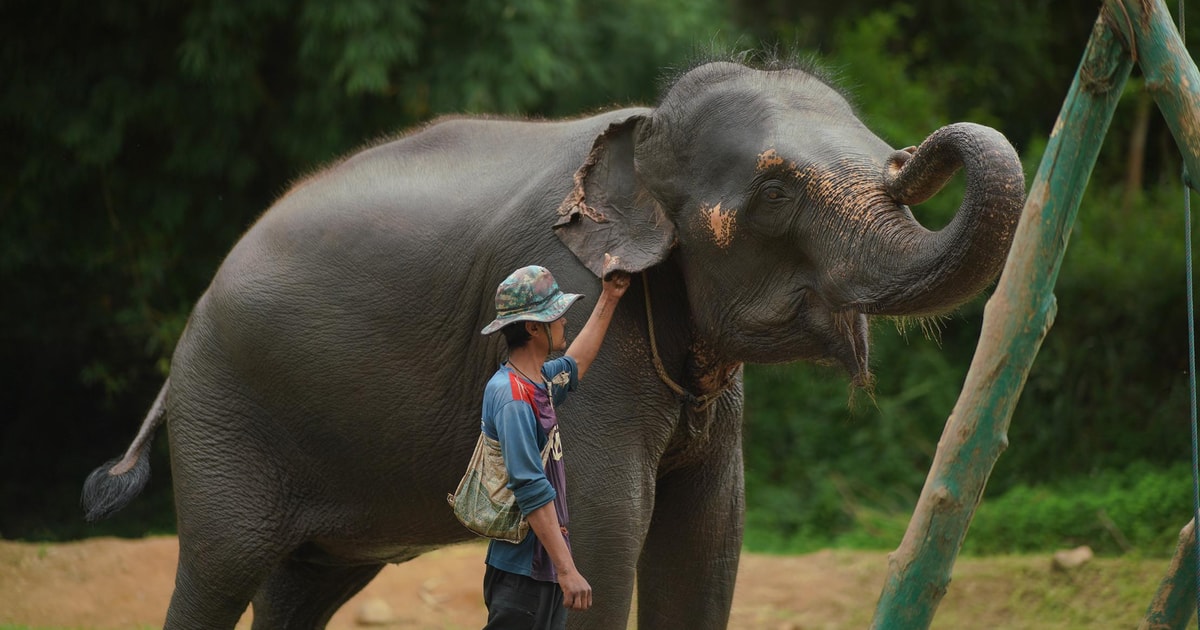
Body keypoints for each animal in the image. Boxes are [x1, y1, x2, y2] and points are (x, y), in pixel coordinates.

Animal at [83, 59, 1025, 629]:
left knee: (303, 582)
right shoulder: (569, 298)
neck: (645, 132)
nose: (918, 151)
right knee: (220, 566)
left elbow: (708, 540)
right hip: (225, 415)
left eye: (884, 156)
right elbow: (604, 537)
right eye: (775, 192)